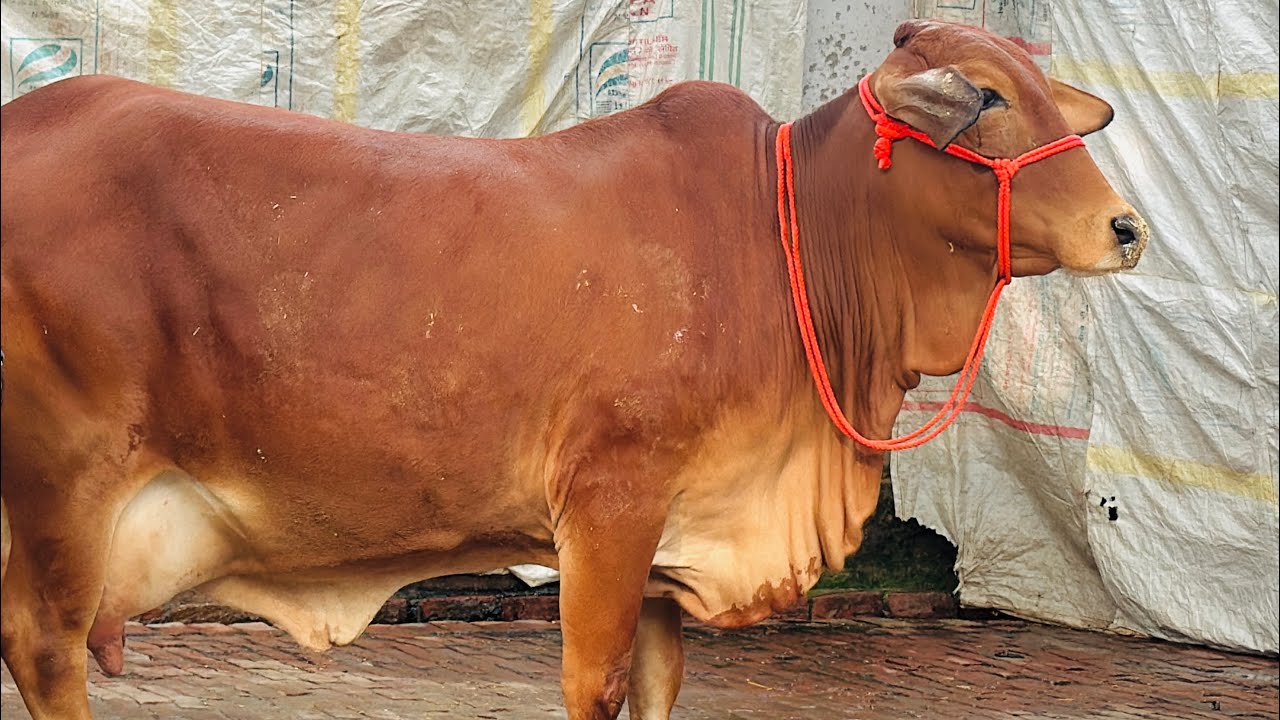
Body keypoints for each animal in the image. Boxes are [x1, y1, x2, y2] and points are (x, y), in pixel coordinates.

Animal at [0, 19, 1147, 720]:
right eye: (987, 97)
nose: (1125, 229)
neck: (794, 243)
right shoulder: (609, 503)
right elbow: (592, 681)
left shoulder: (668, 547)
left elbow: (657, 684)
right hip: (65, 481)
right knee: (45, 644)